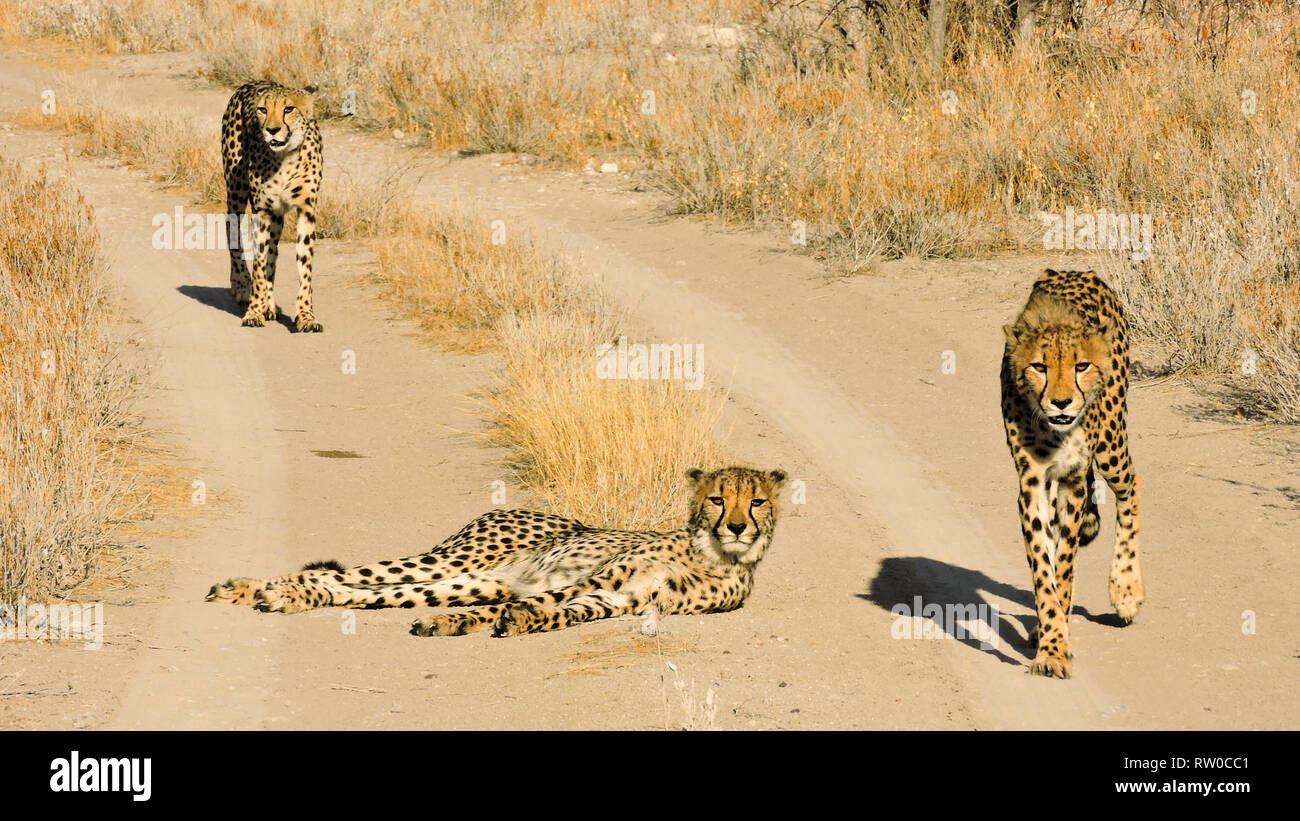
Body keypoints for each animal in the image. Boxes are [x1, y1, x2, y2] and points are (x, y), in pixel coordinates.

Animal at [206, 466, 788, 638]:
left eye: (756, 500)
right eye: (718, 498)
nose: (738, 527)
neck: (710, 554)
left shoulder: (617, 600)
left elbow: (552, 613)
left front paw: (498, 623)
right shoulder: (595, 580)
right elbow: (543, 603)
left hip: (470, 579)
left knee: (374, 591)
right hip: (457, 560)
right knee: (350, 576)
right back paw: (261, 589)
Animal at [221, 80, 324, 333]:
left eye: (289, 109)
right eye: (263, 110)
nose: (272, 130)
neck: (285, 156)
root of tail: (250, 83)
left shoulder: (306, 210)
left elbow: (304, 264)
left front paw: (306, 315)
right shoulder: (263, 211)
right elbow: (259, 263)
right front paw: (254, 311)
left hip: (277, 217)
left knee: (273, 254)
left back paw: (269, 304)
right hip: (236, 191)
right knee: (233, 232)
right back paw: (242, 286)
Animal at [1001, 268, 1145, 679]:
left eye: (1081, 366)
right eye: (1039, 367)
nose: (1062, 402)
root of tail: (1072, 270)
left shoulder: (1074, 482)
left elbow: (1063, 565)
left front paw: (1055, 638)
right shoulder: (1032, 483)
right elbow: (1043, 564)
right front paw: (1051, 643)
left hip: (1111, 441)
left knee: (1130, 485)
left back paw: (1126, 589)